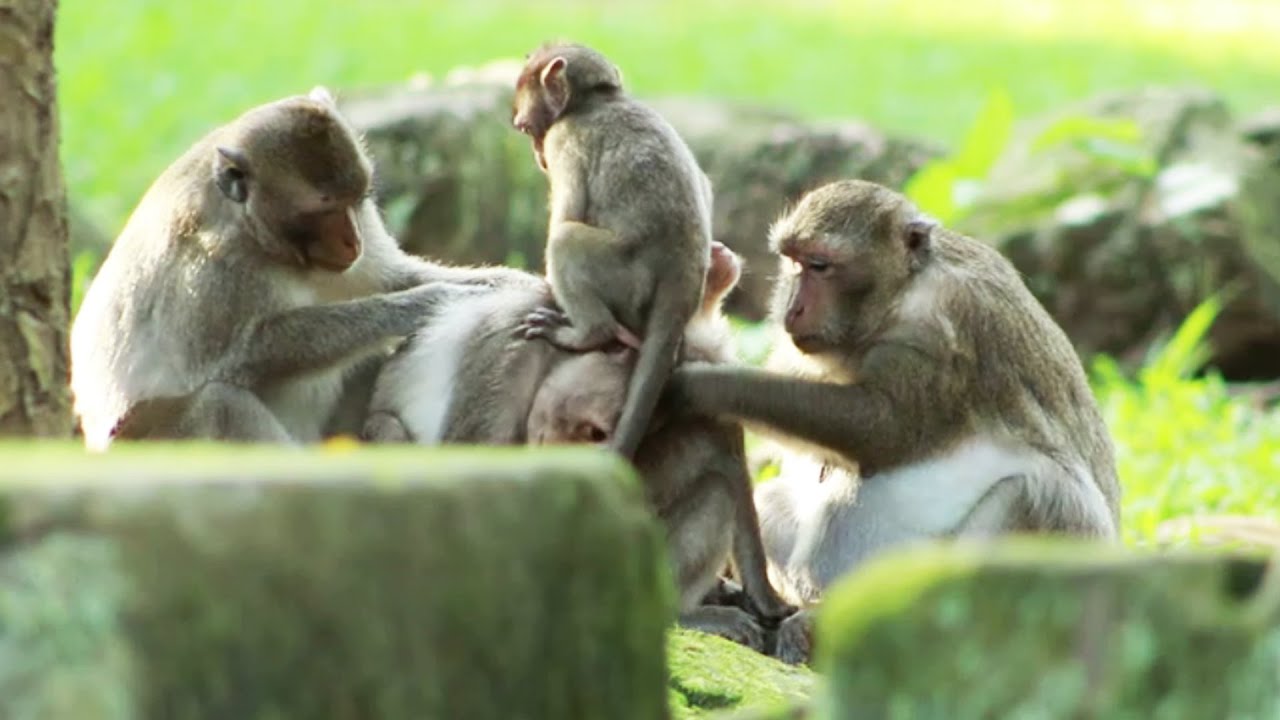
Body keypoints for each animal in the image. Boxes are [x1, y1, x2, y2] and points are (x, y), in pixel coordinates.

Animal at [70, 87, 521, 450]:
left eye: (356, 199)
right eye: (321, 212)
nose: (353, 242)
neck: (259, 235)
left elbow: (390, 277)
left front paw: (507, 280)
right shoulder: (210, 265)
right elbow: (237, 357)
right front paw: (428, 302)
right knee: (218, 403)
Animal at [510, 42, 713, 460]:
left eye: (527, 128)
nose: (538, 156)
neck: (595, 101)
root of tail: (684, 270)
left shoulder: (563, 141)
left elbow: (567, 214)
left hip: (624, 278)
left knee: (565, 240)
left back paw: (590, 334)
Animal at [662, 179, 1122, 664]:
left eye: (821, 266)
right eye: (794, 262)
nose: (792, 308)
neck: (901, 295)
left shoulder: (942, 326)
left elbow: (881, 431)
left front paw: (702, 385)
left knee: (1036, 493)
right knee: (772, 503)